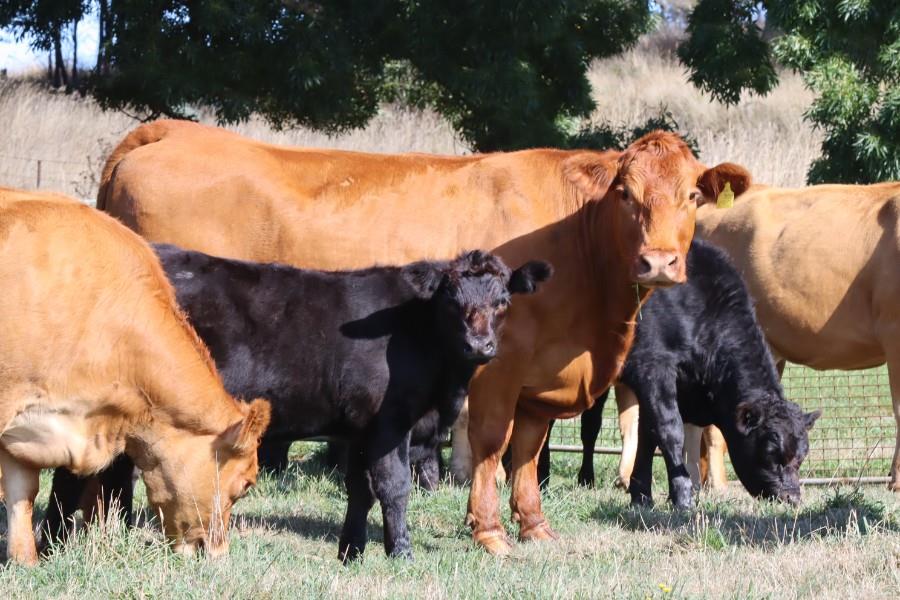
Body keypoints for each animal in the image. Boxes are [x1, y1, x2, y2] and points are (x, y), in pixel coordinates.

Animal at [46, 244, 552, 560]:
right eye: (451, 301)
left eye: (503, 301)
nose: (480, 346)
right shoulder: (391, 423)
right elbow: (393, 486)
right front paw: (401, 552)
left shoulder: (359, 427)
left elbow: (360, 489)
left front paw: (352, 552)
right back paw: (54, 541)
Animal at [98, 119, 752, 554]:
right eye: (626, 194)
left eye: (692, 196)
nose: (659, 262)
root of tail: (173, 132)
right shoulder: (497, 368)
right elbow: (490, 445)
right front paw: (489, 532)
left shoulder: (541, 378)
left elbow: (528, 451)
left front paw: (534, 526)